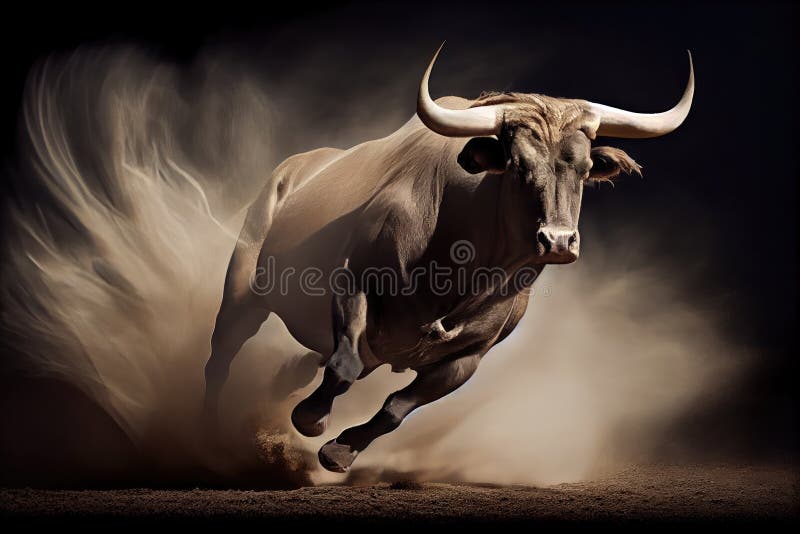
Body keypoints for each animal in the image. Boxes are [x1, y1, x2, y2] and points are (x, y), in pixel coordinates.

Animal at [203, 44, 694, 472]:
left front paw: (340, 451)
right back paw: (209, 431)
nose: (557, 241)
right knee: (221, 358)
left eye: (585, 168)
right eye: (517, 165)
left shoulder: (468, 358)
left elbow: (396, 407)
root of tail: (291, 170)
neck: (461, 274)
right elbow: (345, 366)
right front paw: (310, 418)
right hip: (243, 293)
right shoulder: (352, 284)